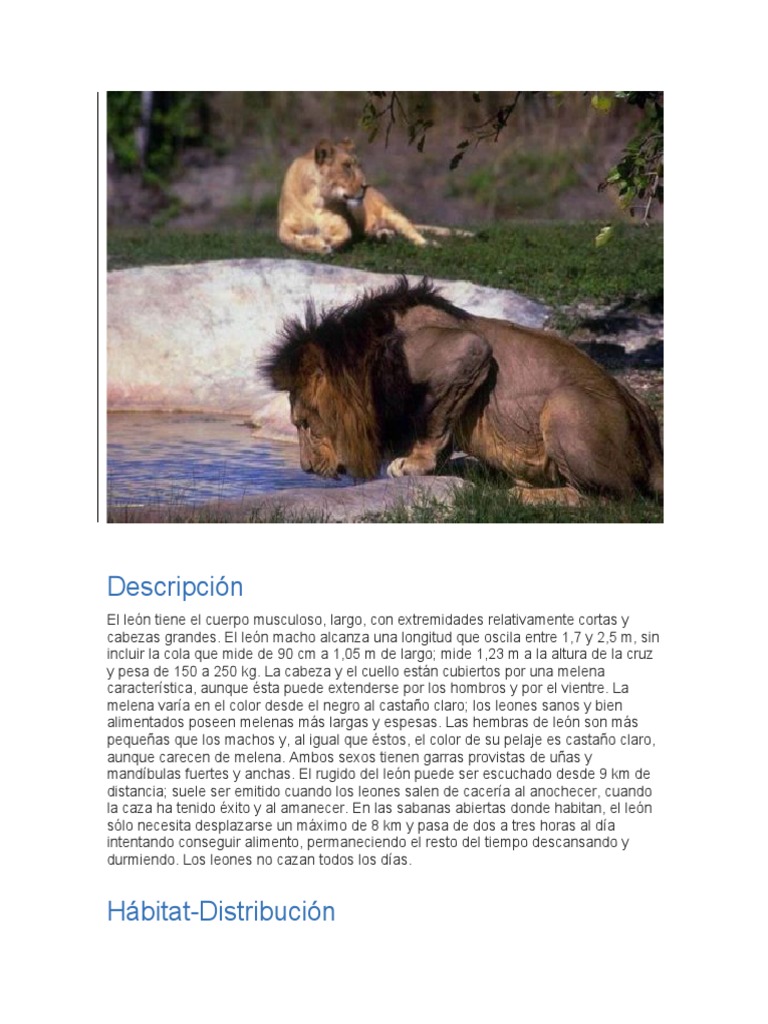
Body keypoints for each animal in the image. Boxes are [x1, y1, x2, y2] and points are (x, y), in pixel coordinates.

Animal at [262, 278, 663, 504]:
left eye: (304, 424)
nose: (306, 468)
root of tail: (655, 448)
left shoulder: (467, 351)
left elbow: (433, 420)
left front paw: (413, 464)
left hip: (566, 404)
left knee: (614, 501)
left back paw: (522, 495)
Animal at [277, 138, 431, 253]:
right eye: (347, 166)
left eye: (359, 165)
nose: (366, 185)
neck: (315, 200)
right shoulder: (285, 224)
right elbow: (286, 238)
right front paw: (314, 243)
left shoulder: (341, 223)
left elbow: (345, 234)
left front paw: (325, 240)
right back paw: (383, 235)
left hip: (391, 213)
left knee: (411, 230)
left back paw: (427, 244)